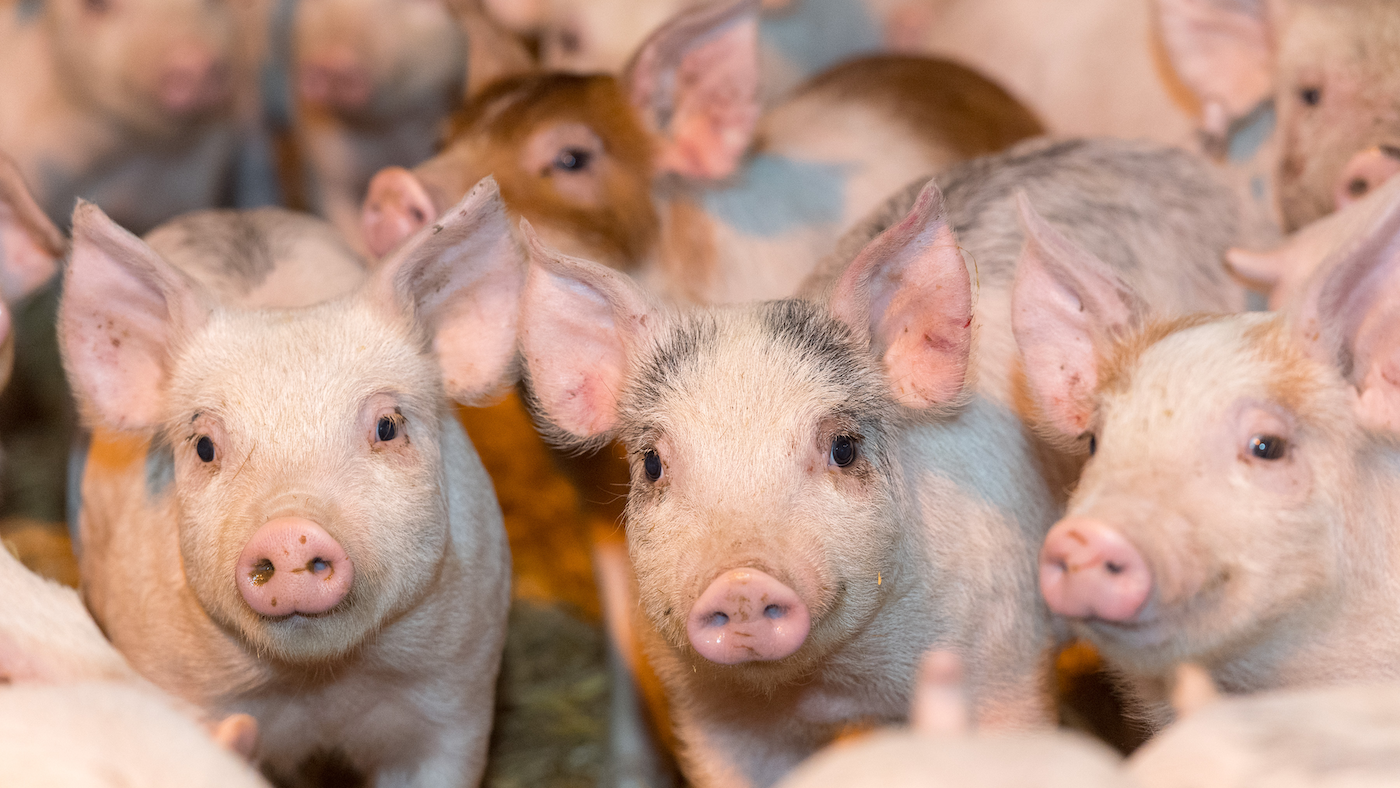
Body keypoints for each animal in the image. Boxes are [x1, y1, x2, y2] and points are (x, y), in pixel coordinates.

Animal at [515, 135, 1242, 787]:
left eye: (844, 447)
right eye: (653, 464)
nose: (741, 583)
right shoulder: (714, 716)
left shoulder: (999, 662)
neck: (835, 687)